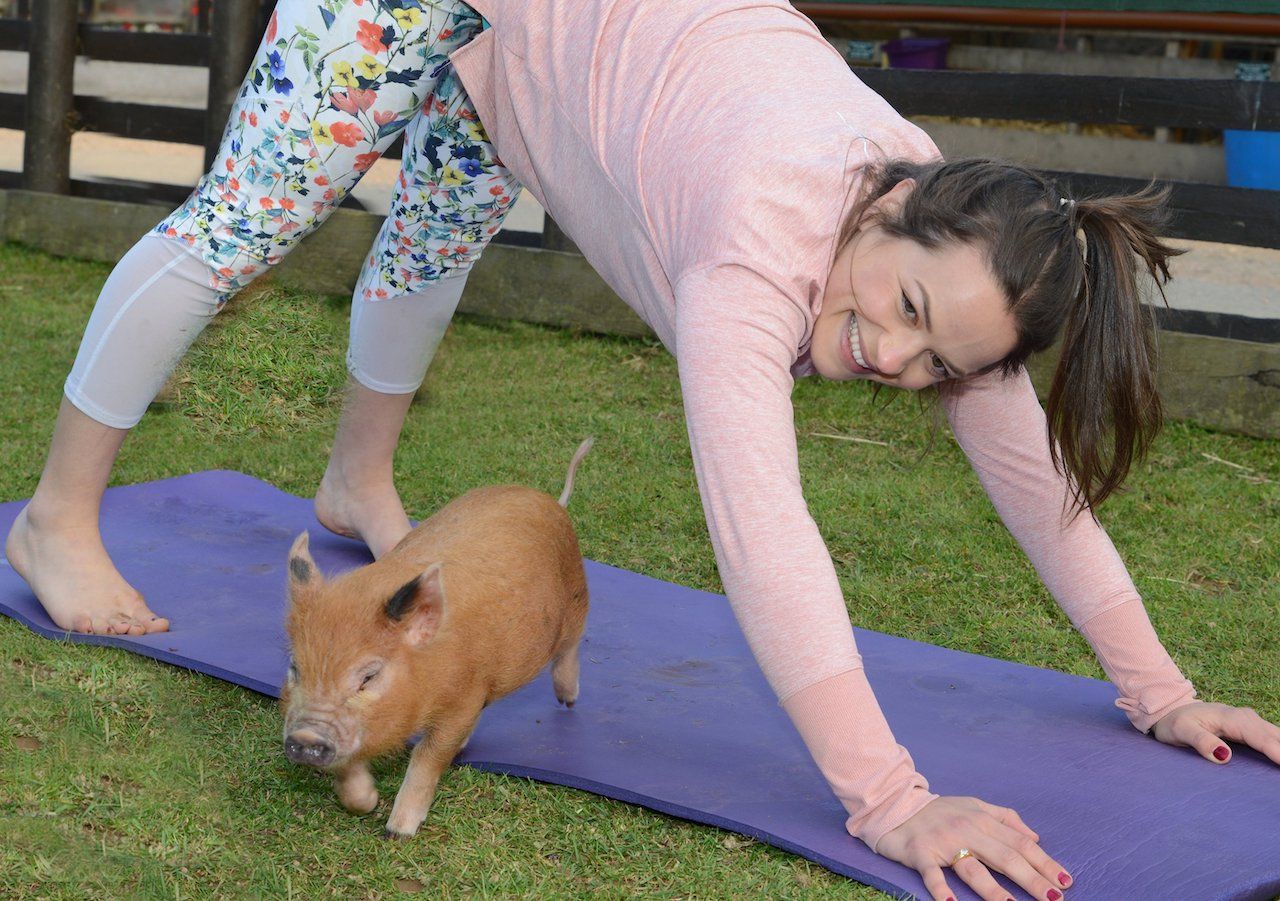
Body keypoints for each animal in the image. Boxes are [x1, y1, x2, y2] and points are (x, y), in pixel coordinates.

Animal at [280, 437, 593, 837]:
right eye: (294, 668)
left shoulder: (465, 696)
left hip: (576, 603)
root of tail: (552, 501)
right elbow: (349, 767)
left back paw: (567, 700)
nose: (304, 739)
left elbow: (428, 755)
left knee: (570, 647)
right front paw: (366, 803)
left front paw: (397, 832)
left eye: (369, 676)